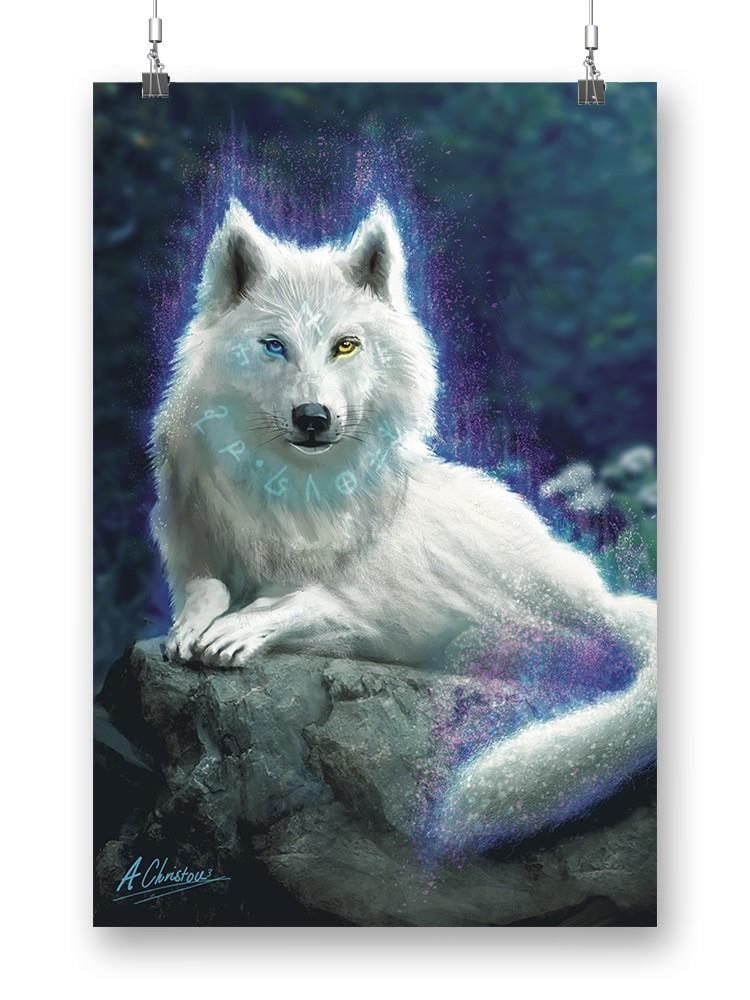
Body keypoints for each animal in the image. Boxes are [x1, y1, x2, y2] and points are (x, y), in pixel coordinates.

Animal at [151, 197, 656, 853]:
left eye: (345, 346)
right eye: (274, 346)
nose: (313, 417)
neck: (296, 491)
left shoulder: (385, 607)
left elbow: (310, 600)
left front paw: (238, 629)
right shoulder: (197, 549)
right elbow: (204, 588)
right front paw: (191, 626)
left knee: (597, 641)